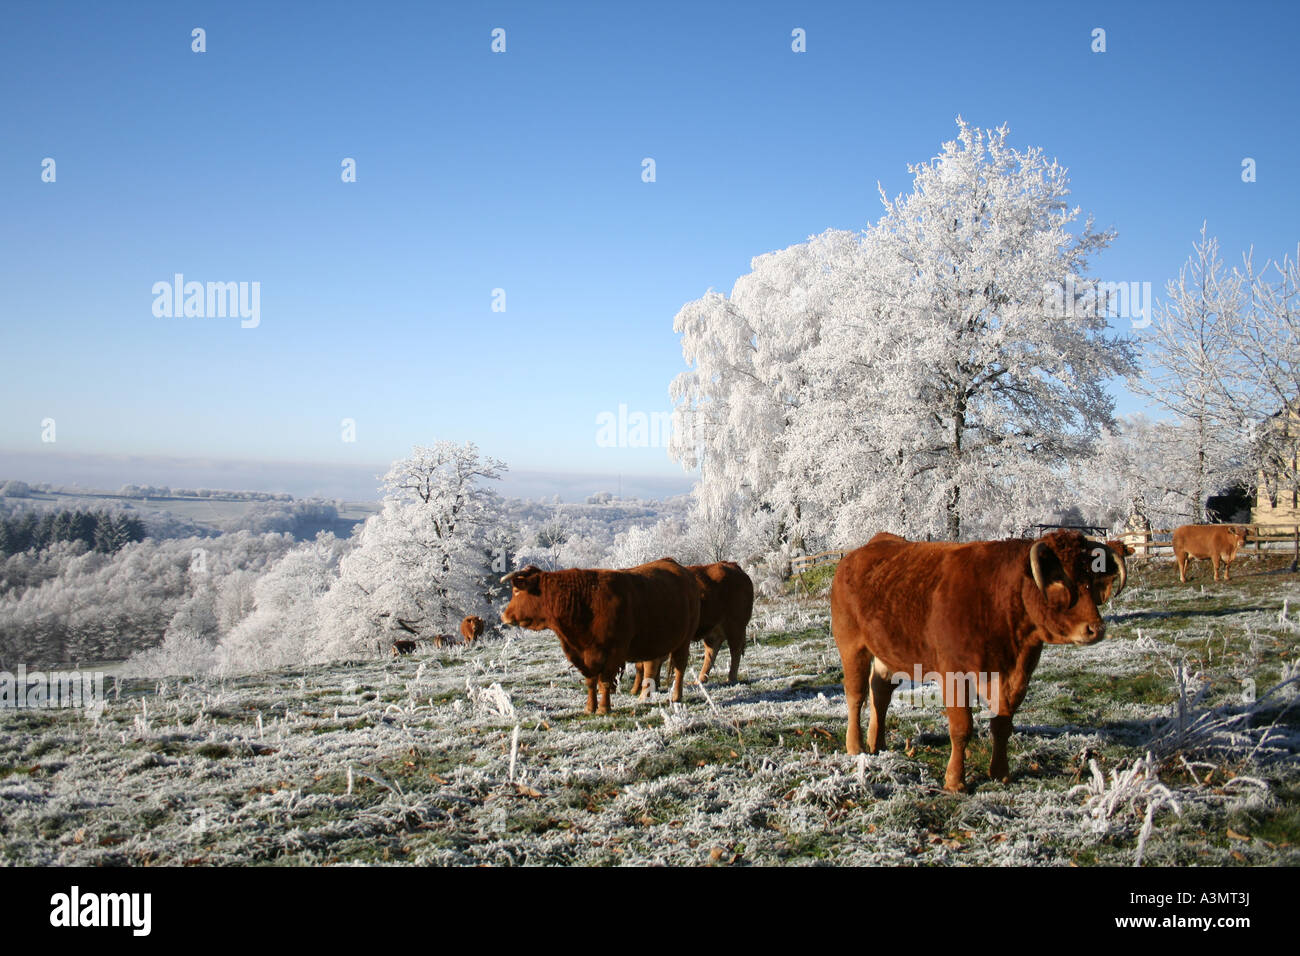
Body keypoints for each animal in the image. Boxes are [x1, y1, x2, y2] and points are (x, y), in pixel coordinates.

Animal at [500, 558, 700, 714]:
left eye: (516, 591)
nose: (504, 616)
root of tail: (679, 567)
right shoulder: (584, 655)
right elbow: (590, 681)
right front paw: (590, 707)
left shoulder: (614, 652)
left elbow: (604, 681)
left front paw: (604, 708)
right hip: (655, 642)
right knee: (652, 666)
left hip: (684, 641)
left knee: (680, 668)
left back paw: (676, 696)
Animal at [632, 561, 755, 694]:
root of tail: (732, 565)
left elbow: (644, 665)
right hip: (713, 631)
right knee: (711, 652)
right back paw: (700, 680)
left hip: (735, 626)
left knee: (735, 651)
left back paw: (730, 679)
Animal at [831, 530, 1126, 793]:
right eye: (1056, 579)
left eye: (1091, 579)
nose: (1095, 629)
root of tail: (858, 553)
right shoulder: (954, 673)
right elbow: (962, 727)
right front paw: (955, 781)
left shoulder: (1017, 675)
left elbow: (1002, 724)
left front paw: (1000, 772)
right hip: (852, 646)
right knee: (856, 694)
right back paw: (855, 746)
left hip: (888, 651)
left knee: (879, 693)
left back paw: (877, 743)